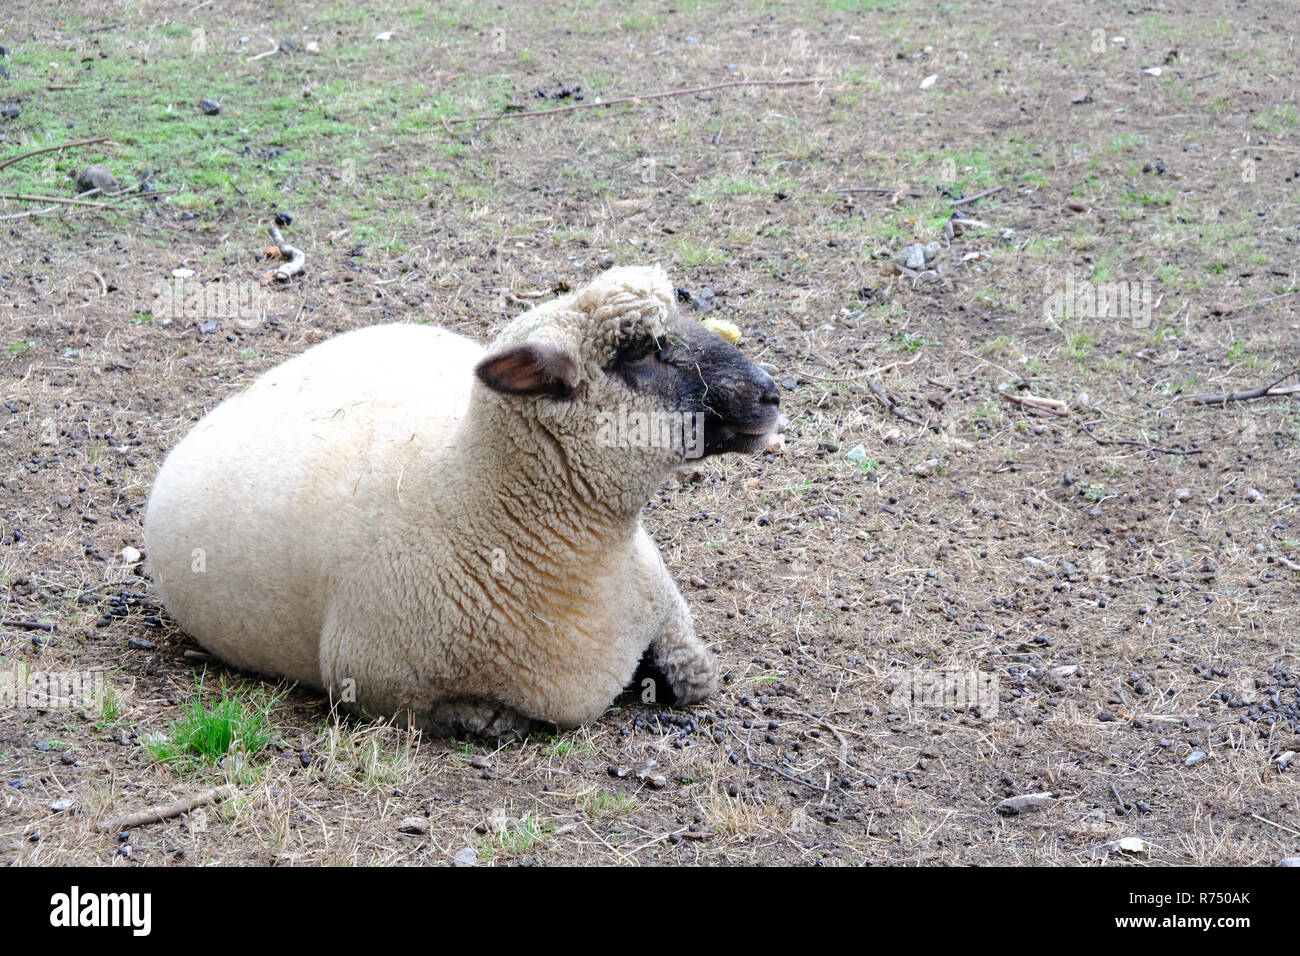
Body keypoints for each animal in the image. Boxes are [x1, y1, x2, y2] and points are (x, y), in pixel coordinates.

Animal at [143, 265, 780, 737]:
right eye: (640, 352)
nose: (772, 393)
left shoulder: (663, 608)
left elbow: (697, 677)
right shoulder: (380, 686)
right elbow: (489, 720)